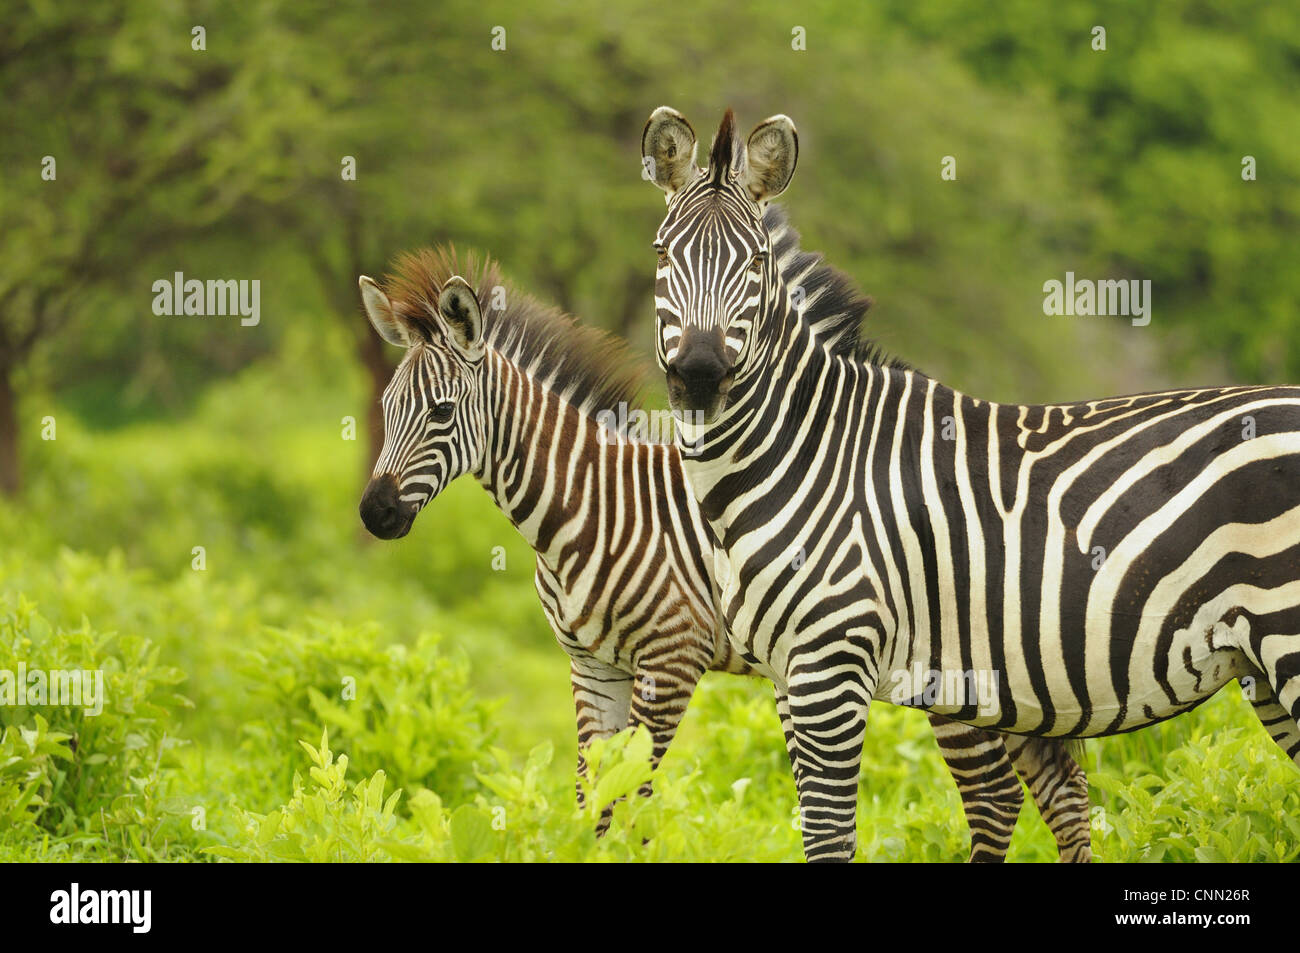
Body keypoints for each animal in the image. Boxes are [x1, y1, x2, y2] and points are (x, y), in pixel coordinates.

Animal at [355, 245, 1091, 860]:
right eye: (386, 406)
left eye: (442, 412)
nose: (374, 514)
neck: (588, 505)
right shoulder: (590, 664)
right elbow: (593, 799)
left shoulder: (671, 657)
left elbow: (635, 800)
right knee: (1066, 795)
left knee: (1000, 796)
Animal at [641, 105, 1300, 861]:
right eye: (661, 254)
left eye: (753, 264)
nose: (697, 374)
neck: (800, 455)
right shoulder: (789, 676)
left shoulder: (830, 666)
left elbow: (831, 833)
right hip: (1262, 669)